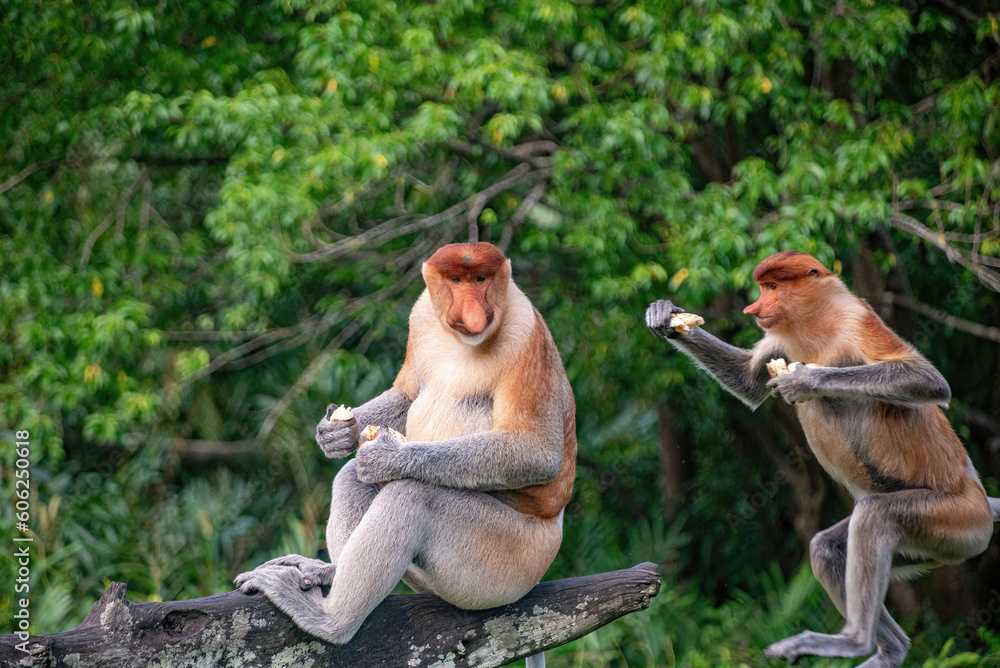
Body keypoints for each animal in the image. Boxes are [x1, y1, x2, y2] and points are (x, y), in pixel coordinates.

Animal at [235, 242, 576, 653]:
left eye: (481, 279)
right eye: (457, 280)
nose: (472, 312)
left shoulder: (526, 335)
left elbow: (536, 452)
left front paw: (389, 457)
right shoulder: (422, 316)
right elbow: (407, 395)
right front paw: (339, 434)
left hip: (506, 563)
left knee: (412, 496)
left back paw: (329, 621)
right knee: (352, 478)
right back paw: (328, 572)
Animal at [646, 250, 1000, 668]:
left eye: (773, 287)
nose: (753, 309)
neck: (814, 320)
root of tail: (980, 501)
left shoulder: (855, 319)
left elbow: (928, 380)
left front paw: (805, 381)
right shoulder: (779, 337)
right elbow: (747, 381)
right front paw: (665, 318)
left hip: (956, 524)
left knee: (877, 515)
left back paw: (854, 641)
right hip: (934, 545)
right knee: (828, 550)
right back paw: (887, 650)